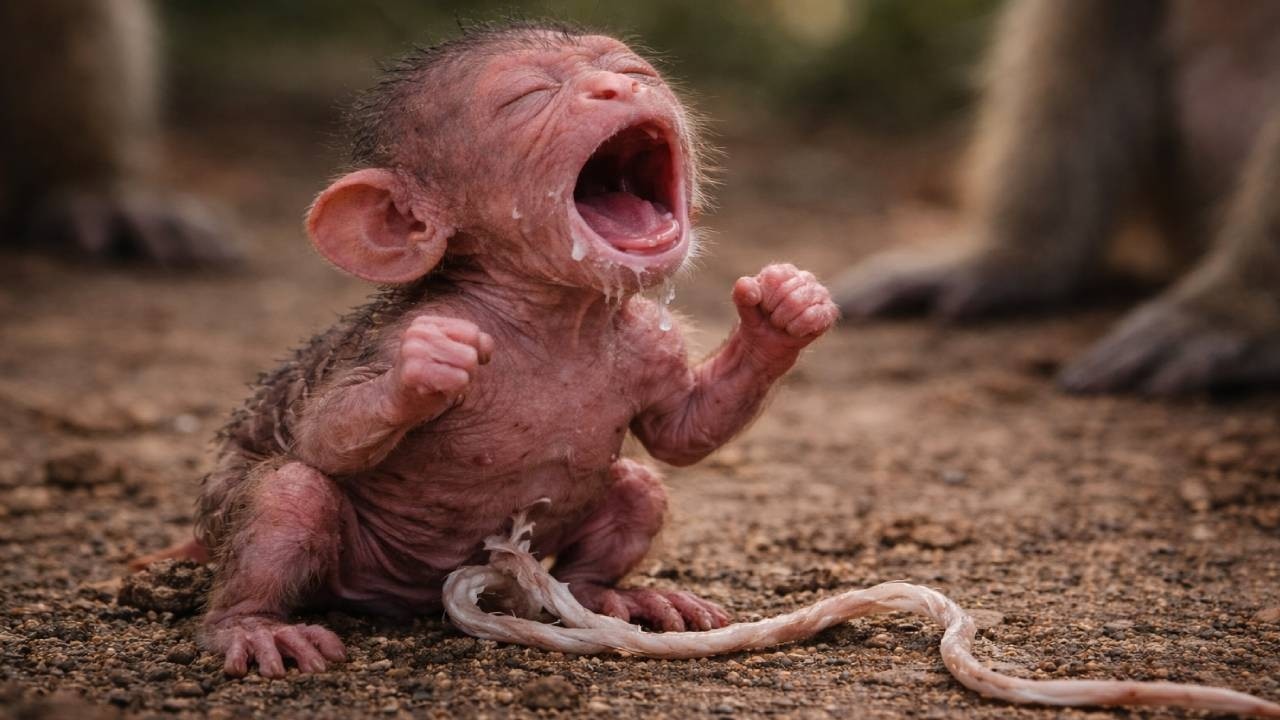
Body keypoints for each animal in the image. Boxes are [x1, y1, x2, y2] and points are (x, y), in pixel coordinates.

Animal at [174, 23, 840, 678]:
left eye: (632, 71)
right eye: (526, 98)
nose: (615, 88)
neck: (555, 320)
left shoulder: (655, 339)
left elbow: (682, 432)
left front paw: (783, 312)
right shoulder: (406, 326)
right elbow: (323, 437)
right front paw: (422, 369)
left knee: (636, 486)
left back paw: (613, 596)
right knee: (291, 490)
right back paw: (252, 626)